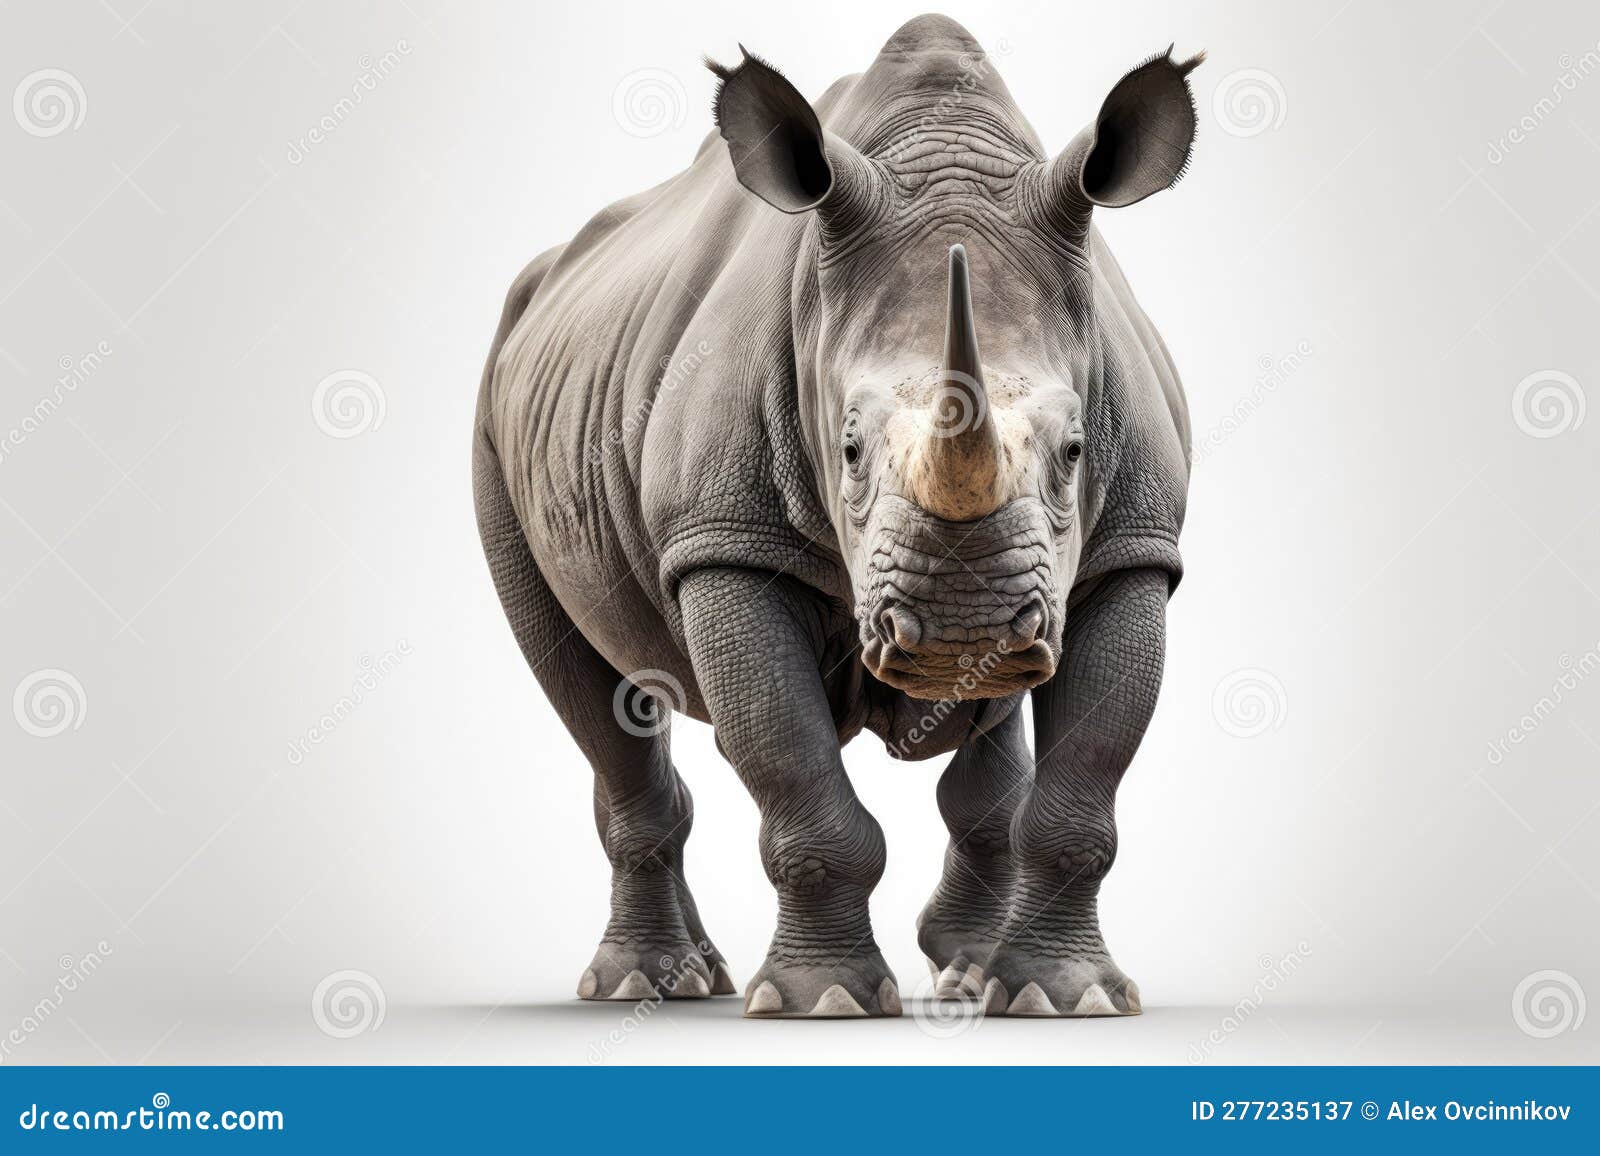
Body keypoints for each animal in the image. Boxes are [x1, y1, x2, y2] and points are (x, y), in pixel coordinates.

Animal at [474, 14, 1199, 1018]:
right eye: (848, 450)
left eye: (1074, 452)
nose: (961, 630)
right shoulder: (723, 542)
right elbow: (793, 769)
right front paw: (826, 1000)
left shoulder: (1133, 548)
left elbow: (1078, 787)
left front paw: (1064, 997)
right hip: (495, 412)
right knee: (589, 685)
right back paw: (651, 985)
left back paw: (959, 972)